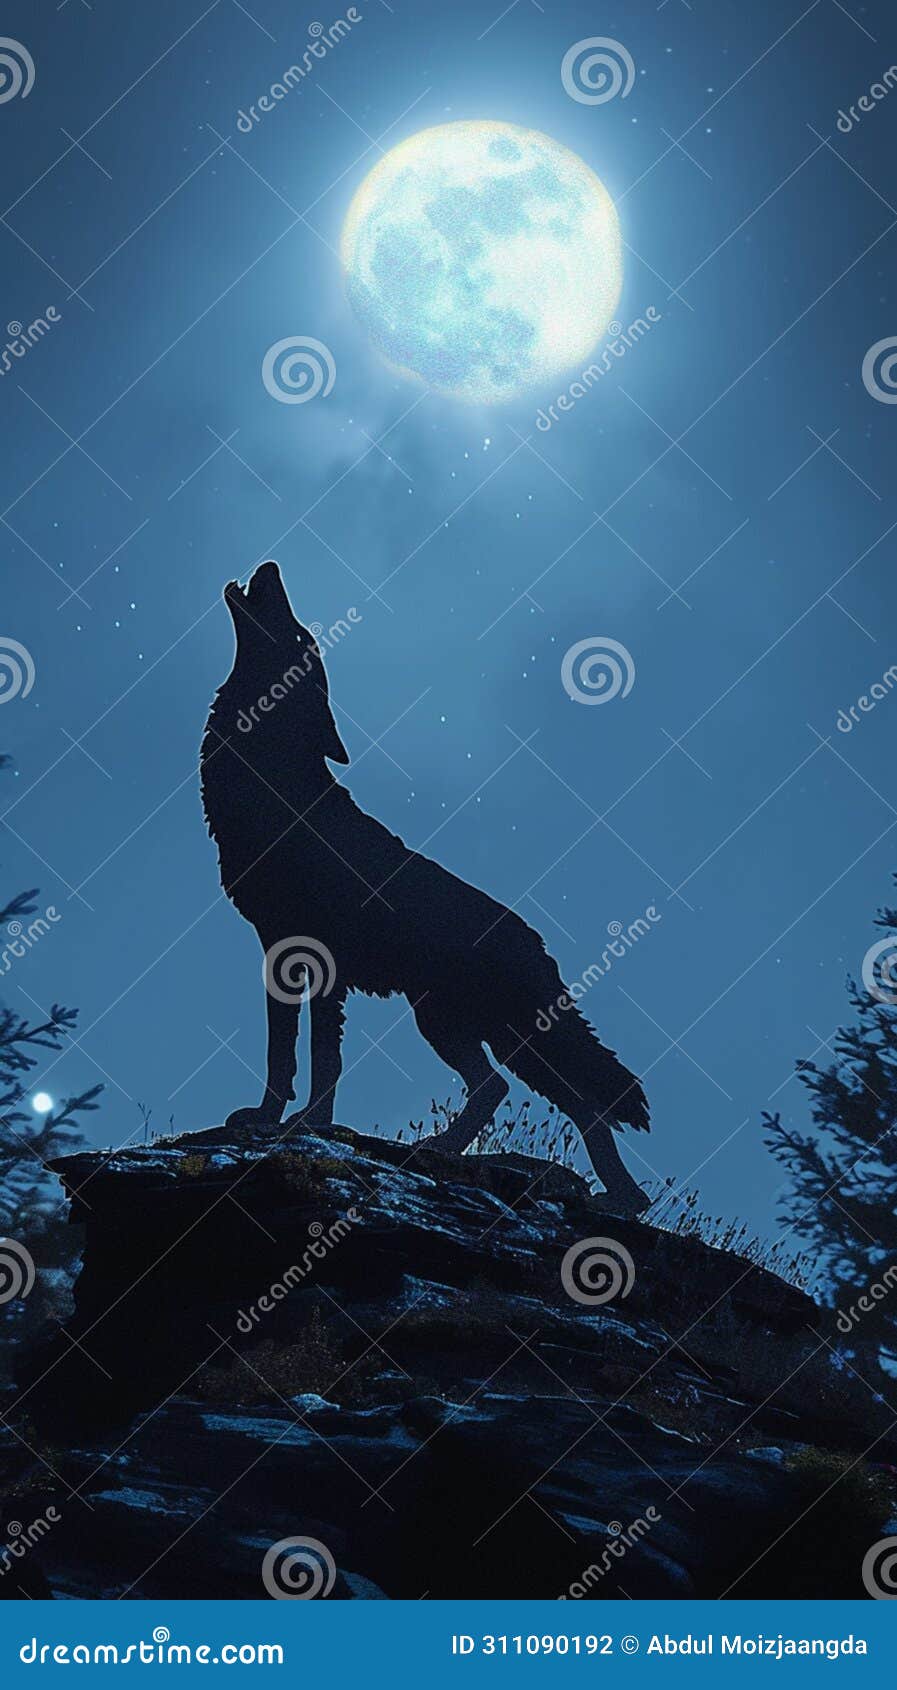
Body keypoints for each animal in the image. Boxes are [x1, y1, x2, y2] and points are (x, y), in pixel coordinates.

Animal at [200, 560, 650, 1213]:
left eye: (300, 635)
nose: (272, 567)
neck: (272, 781)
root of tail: (540, 945)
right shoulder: (283, 953)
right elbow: (293, 1056)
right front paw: (282, 1121)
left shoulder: (313, 960)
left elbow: (313, 1057)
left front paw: (297, 1126)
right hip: (456, 1025)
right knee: (518, 1092)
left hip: (482, 1030)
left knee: (557, 1098)